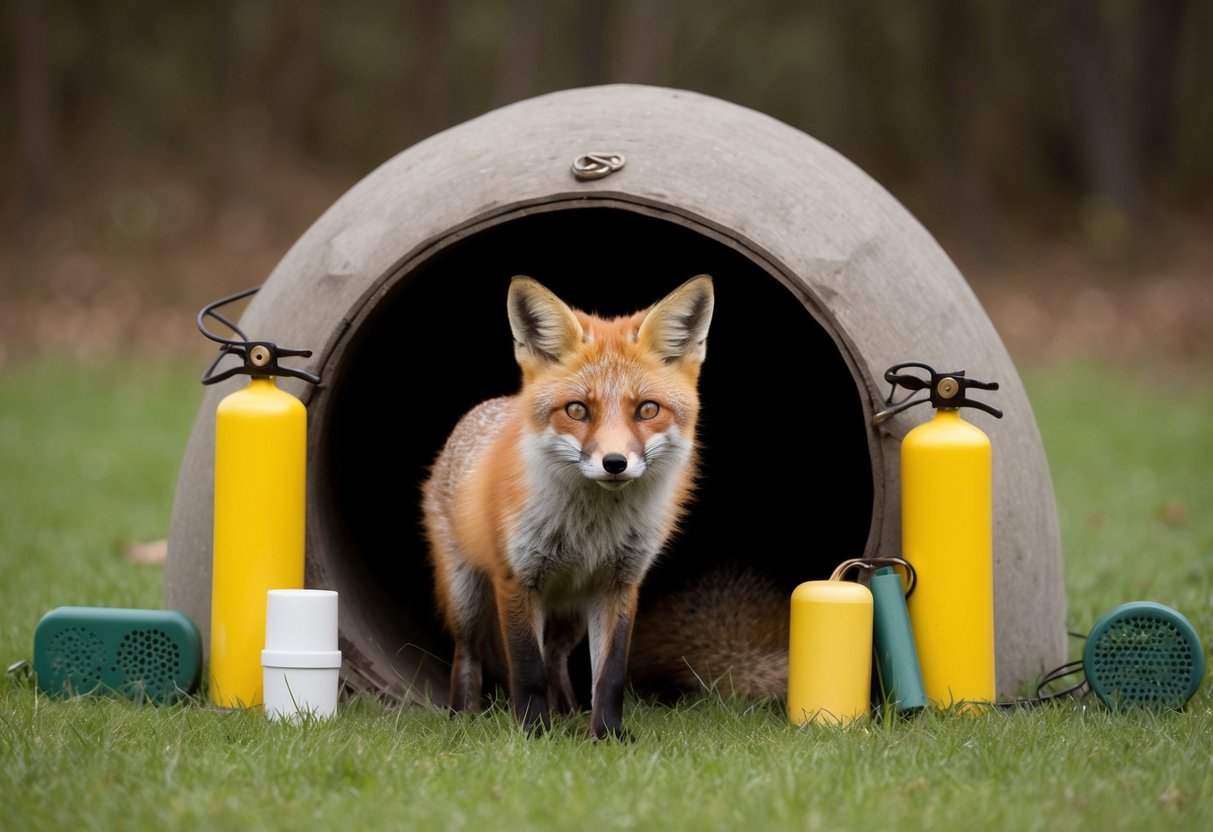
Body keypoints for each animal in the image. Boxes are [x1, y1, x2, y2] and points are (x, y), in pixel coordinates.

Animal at [421, 274, 714, 739]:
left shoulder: (619, 584)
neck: (591, 528)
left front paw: (607, 736)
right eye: (577, 410)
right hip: (466, 595)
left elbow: (609, 675)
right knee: (468, 654)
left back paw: (569, 713)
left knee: (557, 656)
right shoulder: (517, 578)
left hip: (571, 612)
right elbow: (528, 669)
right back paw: (462, 716)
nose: (615, 463)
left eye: (647, 409)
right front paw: (533, 734)